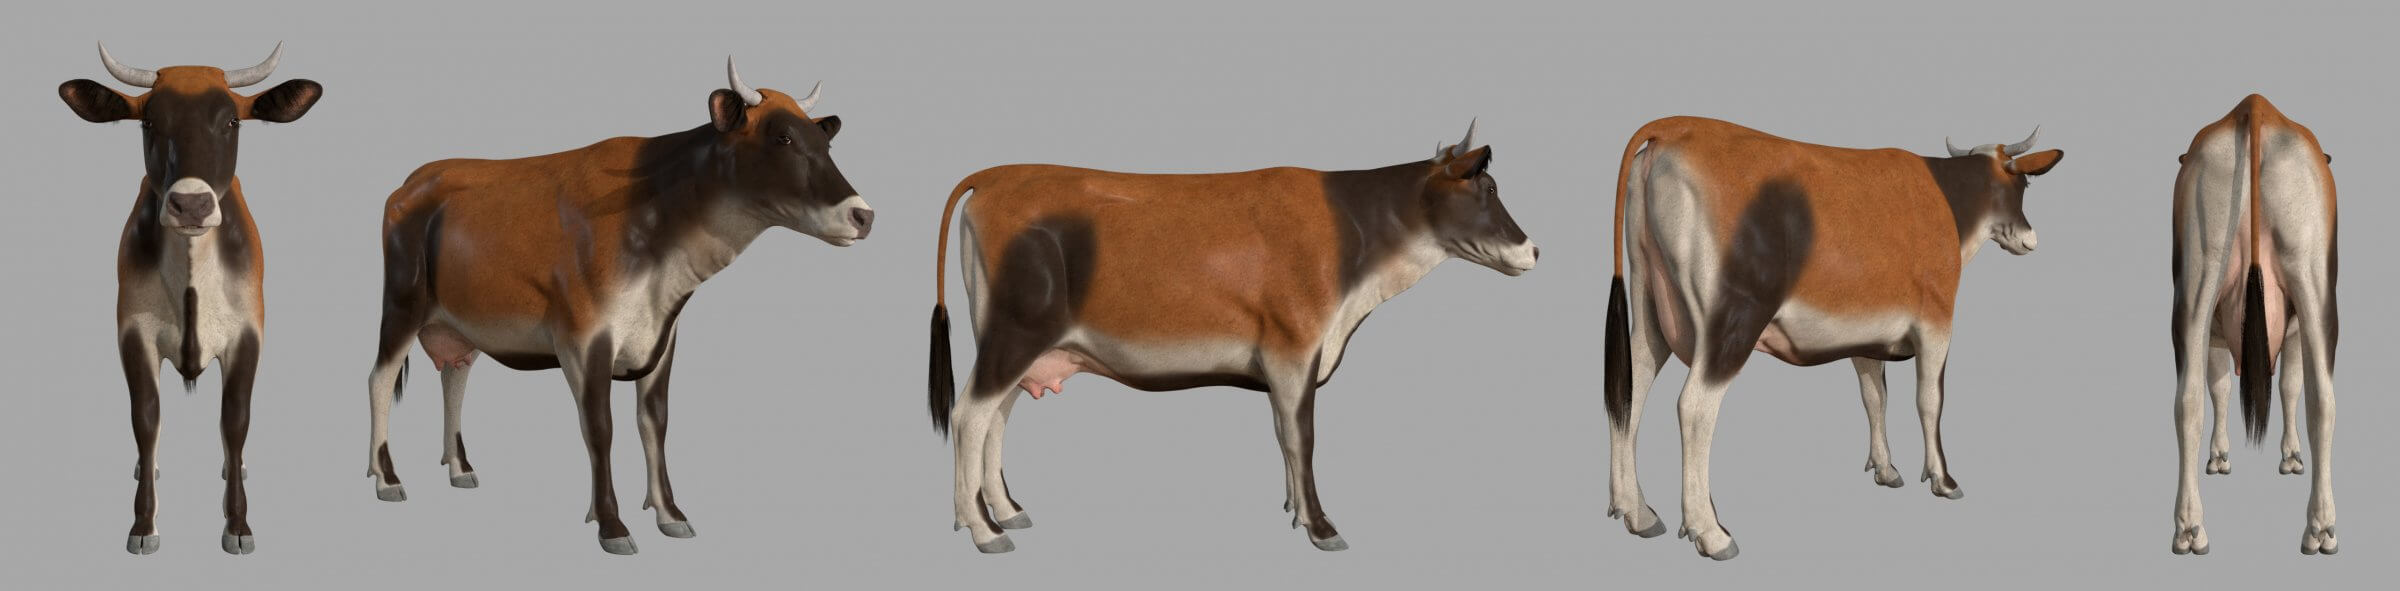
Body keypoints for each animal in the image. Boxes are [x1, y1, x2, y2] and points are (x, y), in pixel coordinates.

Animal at [58, 43, 322, 556]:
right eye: (148, 122)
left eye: (232, 121)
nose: (191, 205)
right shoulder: (132, 333)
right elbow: (146, 418)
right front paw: (143, 524)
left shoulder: (248, 334)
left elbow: (235, 419)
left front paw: (237, 524)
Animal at [363, 58, 872, 555]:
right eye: (782, 137)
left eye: (823, 141)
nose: (863, 215)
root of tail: (412, 182)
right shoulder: (583, 339)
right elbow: (599, 428)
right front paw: (611, 524)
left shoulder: (661, 337)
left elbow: (655, 423)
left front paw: (670, 514)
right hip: (403, 305)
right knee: (380, 379)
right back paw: (386, 478)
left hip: (459, 323)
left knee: (455, 375)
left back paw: (460, 468)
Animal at [923, 122, 1538, 553]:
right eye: (1487, 186)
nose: (1533, 249)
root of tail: (993, 176)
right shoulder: (1294, 347)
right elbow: (1301, 437)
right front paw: (1321, 527)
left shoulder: (1287, 360)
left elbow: (1284, 437)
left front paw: (1293, 510)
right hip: (1015, 333)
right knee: (969, 415)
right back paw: (984, 530)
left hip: (1011, 340)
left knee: (996, 419)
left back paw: (1005, 510)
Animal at [1601, 116, 2064, 560]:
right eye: (2022, 184)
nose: (2030, 238)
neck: (1947, 199)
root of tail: (1673, 127)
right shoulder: (1937, 320)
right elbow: (1930, 400)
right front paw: (1943, 479)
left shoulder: (1867, 337)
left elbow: (1875, 397)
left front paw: (1886, 469)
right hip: (1732, 319)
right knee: (1694, 406)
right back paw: (1711, 533)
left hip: (1649, 309)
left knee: (1630, 391)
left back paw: (1638, 513)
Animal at [2166, 94, 2338, 556]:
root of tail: (2255, 108)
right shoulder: (2291, 334)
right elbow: (2288, 384)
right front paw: (2288, 455)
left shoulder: (2217, 334)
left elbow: (2224, 385)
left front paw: (2223, 456)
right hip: (2313, 282)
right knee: (2322, 397)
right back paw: (2321, 528)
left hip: (2198, 276)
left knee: (2188, 398)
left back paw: (2188, 528)